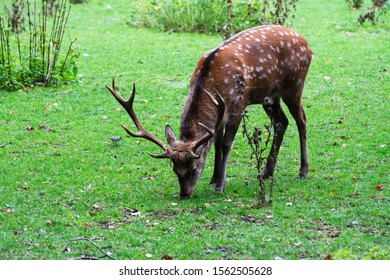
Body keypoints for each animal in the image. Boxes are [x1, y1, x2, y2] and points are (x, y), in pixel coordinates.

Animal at [107, 24, 314, 199]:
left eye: (193, 169)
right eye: (175, 169)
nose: (184, 195)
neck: (209, 81)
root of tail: (307, 45)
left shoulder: (237, 106)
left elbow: (226, 145)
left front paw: (220, 186)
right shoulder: (219, 117)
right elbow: (216, 143)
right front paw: (213, 178)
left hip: (294, 85)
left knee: (301, 119)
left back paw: (303, 171)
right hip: (270, 96)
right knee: (281, 122)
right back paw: (266, 172)